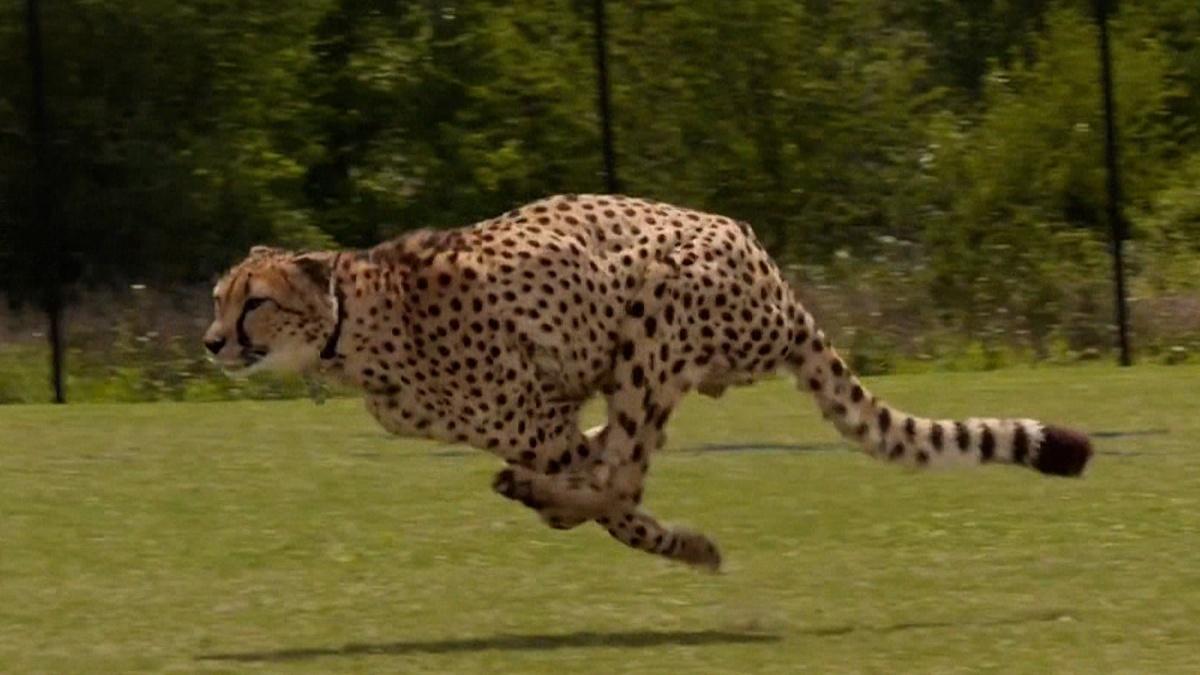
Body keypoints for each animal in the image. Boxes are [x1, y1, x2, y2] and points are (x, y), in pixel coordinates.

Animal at [204, 194, 1092, 572]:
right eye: (218, 297)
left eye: (256, 301)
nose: (213, 341)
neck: (352, 324)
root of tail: (776, 277)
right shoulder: (551, 418)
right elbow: (608, 481)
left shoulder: (542, 418)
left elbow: (615, 496)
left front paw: (678, 543)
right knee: (622, 454)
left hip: (656, 304)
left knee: (622, 466)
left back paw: (545, 498)